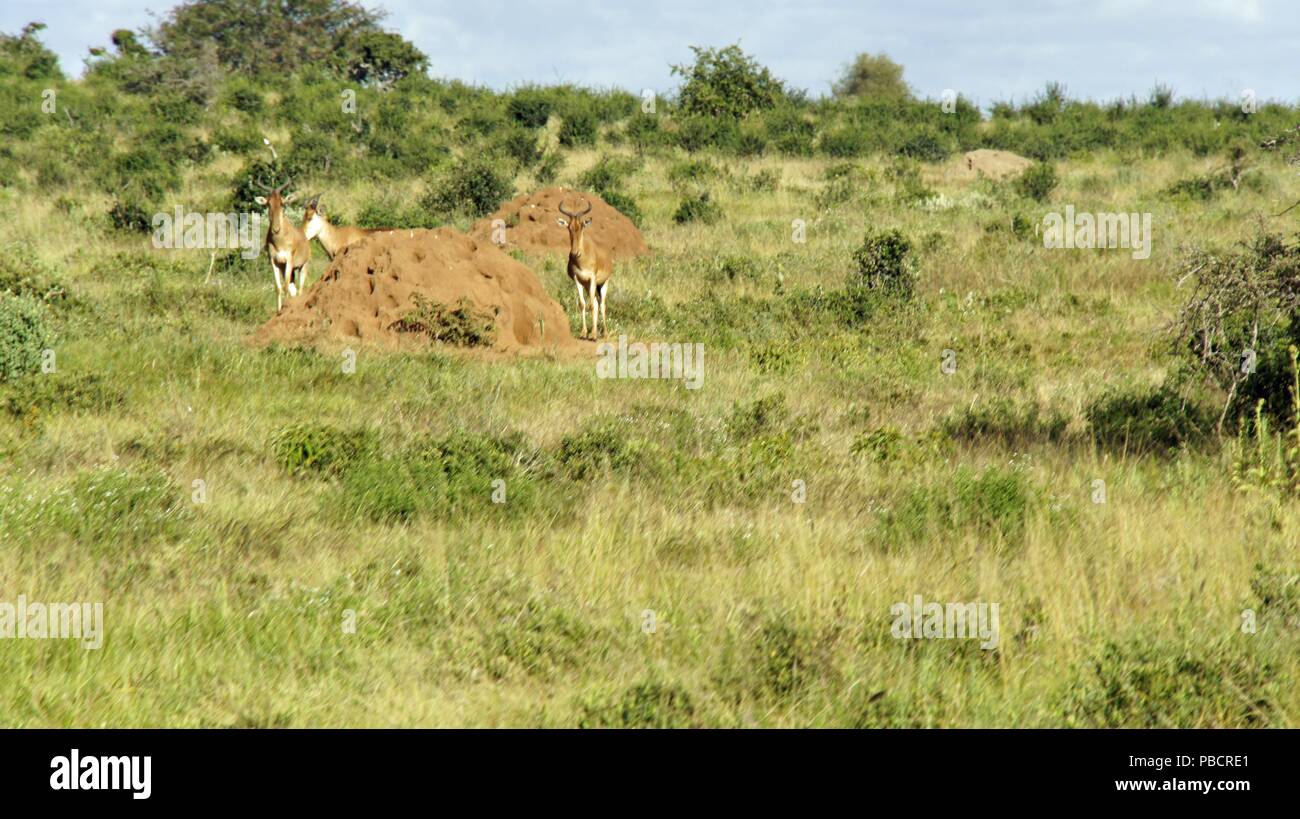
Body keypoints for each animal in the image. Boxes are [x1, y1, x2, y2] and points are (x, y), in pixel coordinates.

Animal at [255, 178, 311, 313]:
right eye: (268, 204)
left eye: (282, 203)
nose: (275, 229)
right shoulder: (274, 262)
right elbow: (278, 287)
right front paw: (279, 311)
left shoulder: (289, 261)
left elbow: (285, 287)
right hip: (288, 270)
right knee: (293, 289)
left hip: (303, 266)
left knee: (300, 289)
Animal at [557, 199, 613, 339]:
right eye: (569, 227)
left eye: (581, 226)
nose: (574, 253)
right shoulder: (578, 280)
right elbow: (583, 304)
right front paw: (584, 333)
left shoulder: (592, 278)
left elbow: (592, 305)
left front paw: (592, 334)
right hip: (588, 286)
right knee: (597, 303)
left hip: (603, 283)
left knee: (602, 304)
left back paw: (605, 333)